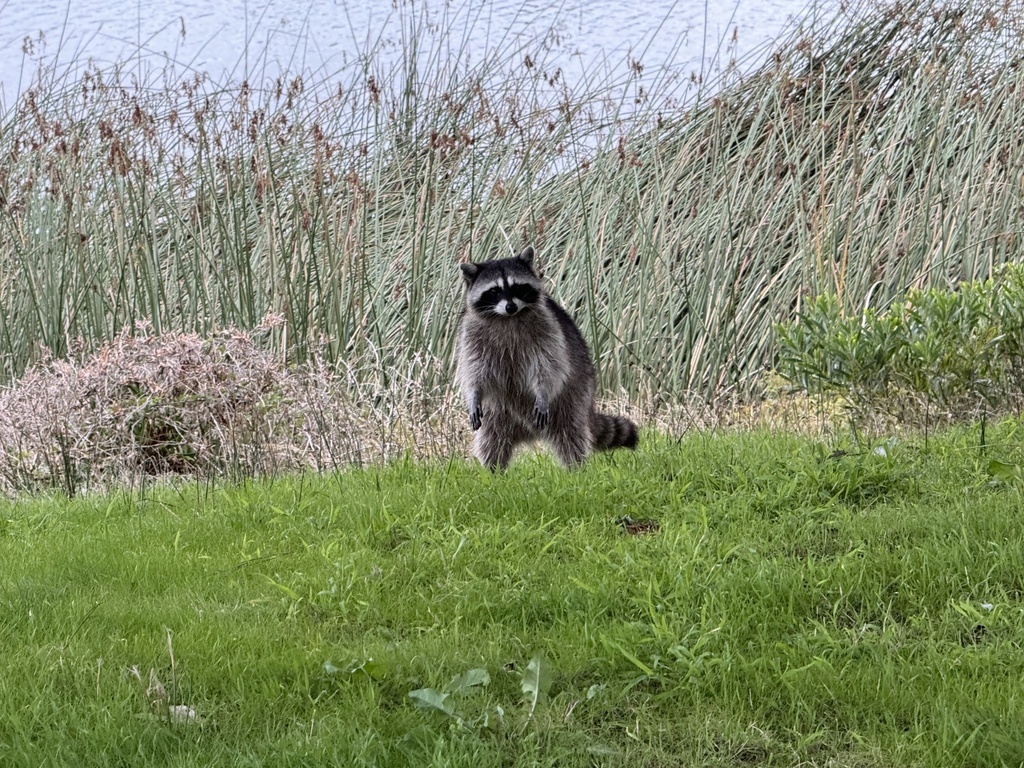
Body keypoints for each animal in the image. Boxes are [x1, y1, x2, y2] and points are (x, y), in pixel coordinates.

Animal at [456, 245, 638, 470]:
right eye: (494, 291)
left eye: (517, 287)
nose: (510, 307)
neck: (507, 318)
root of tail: (530, 433)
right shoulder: (471, 333)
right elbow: (474, 369)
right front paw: (473, 395)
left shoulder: (548, 327)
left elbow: (548, 364)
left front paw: (542, 392)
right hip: (497, 411)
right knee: (492, 438)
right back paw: (492, 469)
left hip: (573, 398)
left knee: (570, 433)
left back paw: (576, 468)